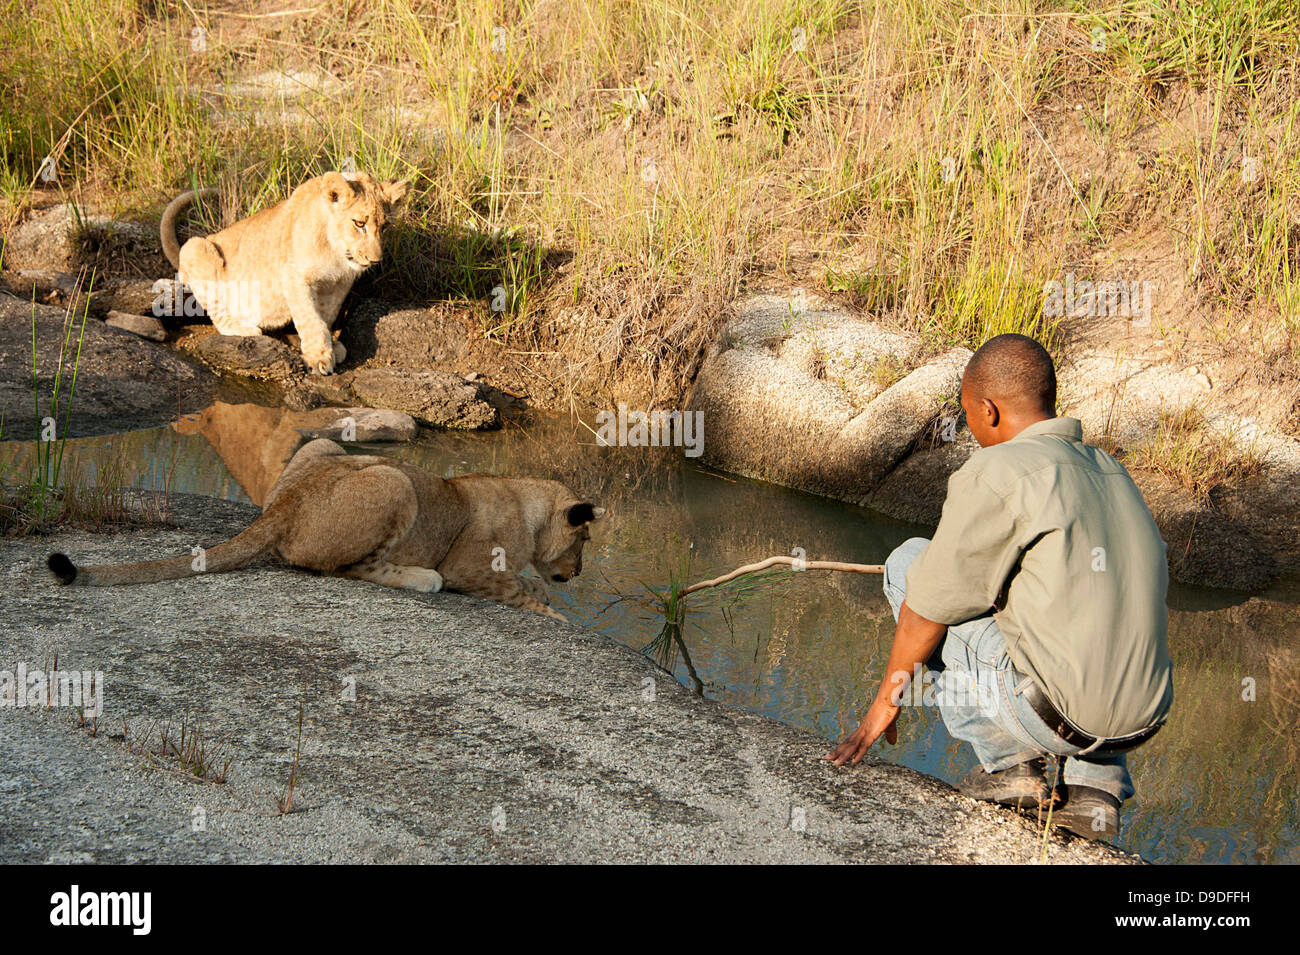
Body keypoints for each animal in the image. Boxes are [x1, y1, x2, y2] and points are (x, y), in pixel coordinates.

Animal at [47, 439, 604, 620]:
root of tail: (284, 507)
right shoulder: (470, 566)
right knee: (351, 569)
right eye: (584, 542)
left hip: (322, 446)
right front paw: (556, 614)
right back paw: (421, 579)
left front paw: (544, 592)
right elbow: (516, 592)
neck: (529, 506)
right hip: (393, 480)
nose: (578, 574)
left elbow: (524, 583)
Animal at [160, 172, 410, 375]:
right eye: (359, 223)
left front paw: (331, 345)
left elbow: (326, 316)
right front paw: (319, 358)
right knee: (218, 314)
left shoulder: (339, 284)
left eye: (385, 227)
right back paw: (245, 328)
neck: (335, 251)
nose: (375, 260)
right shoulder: (294, 276)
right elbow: (310, 318)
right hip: (196, 246)